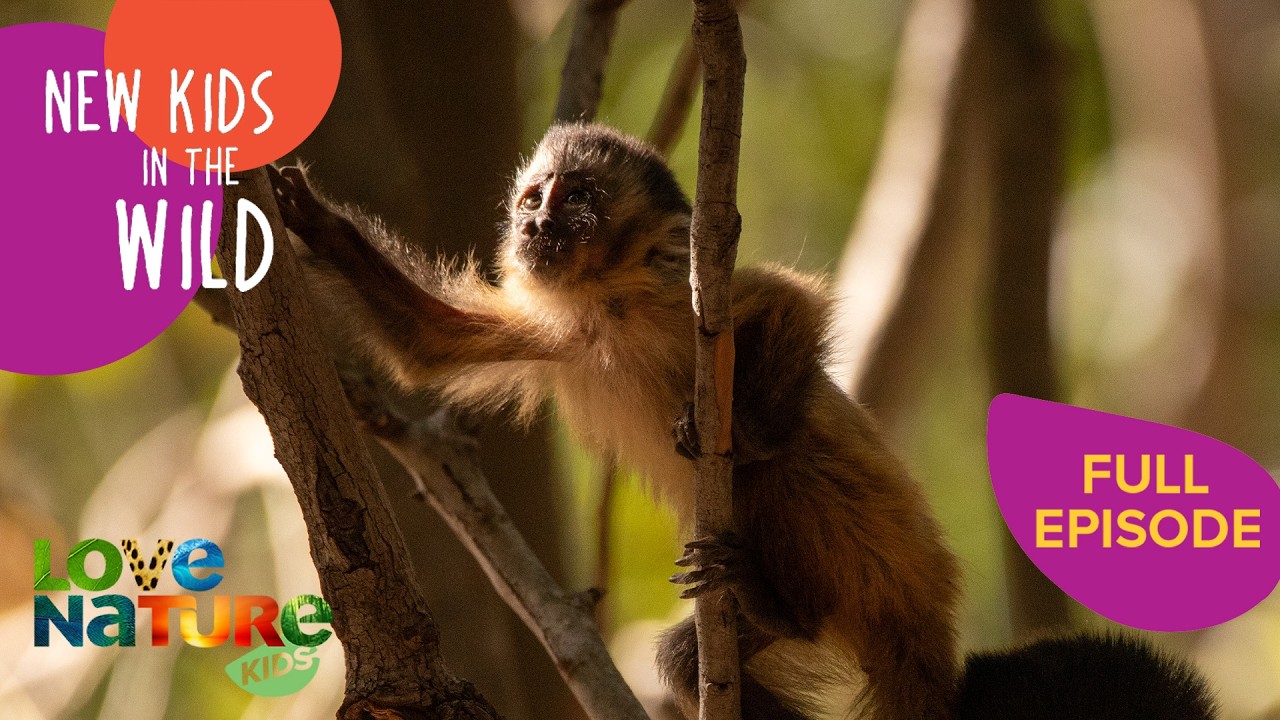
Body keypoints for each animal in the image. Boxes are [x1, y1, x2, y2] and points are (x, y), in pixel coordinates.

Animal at [268, 123, 1218, 720]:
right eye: (536, 197)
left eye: (579, 198)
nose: (537, 222)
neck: (607, 305)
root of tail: (926, 609)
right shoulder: (555, 324)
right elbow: (428, 346)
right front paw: (314, 223)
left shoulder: (672, 285)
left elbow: (791, 304)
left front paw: (747, 432)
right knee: (690, 661)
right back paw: (769, 614)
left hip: (878, 556)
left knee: (790, 467)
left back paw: (776, 587)